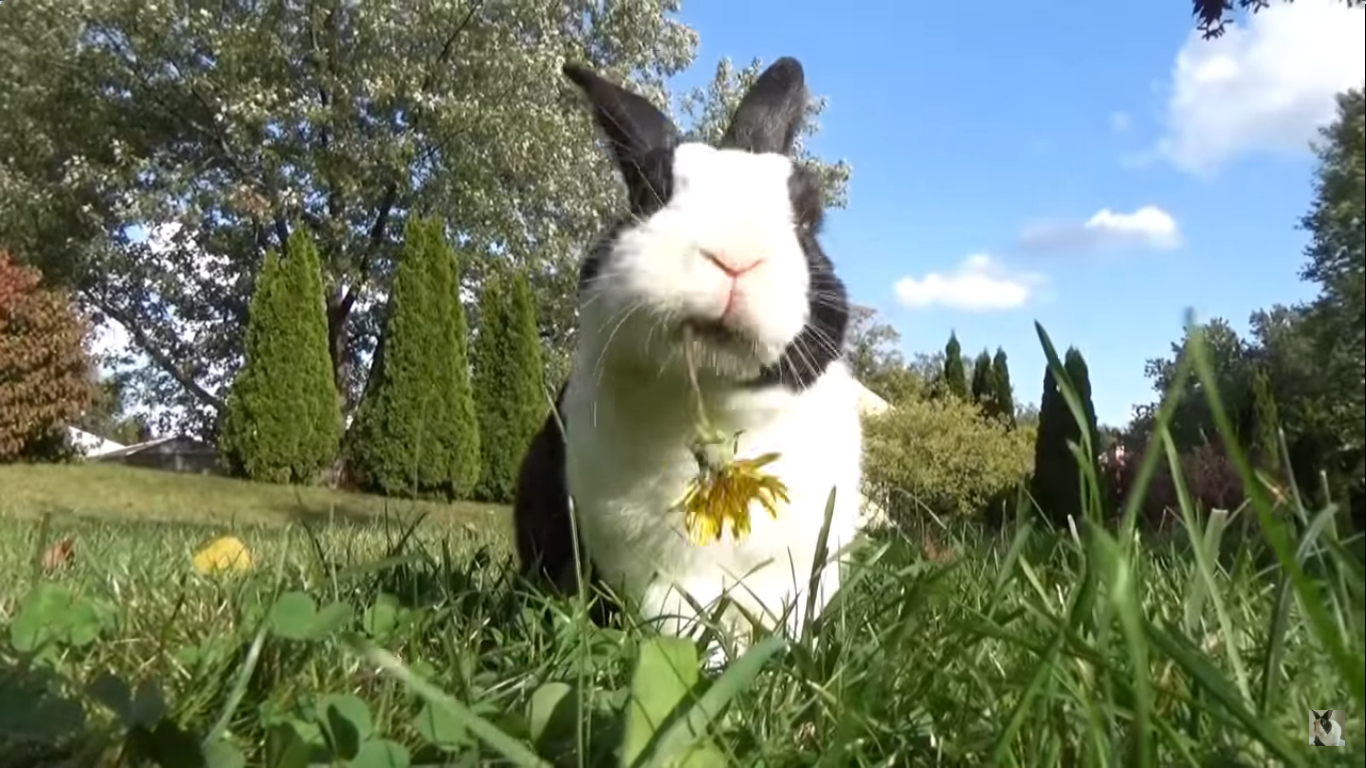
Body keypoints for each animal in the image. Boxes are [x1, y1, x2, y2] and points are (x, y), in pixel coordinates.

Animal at [514, 57, 862, 662]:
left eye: (808, 218)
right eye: (647, 195)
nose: (734, 257)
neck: (716, 415)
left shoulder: (798, 571)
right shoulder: (653, 571)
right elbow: (681, 625)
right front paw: (715, 667)